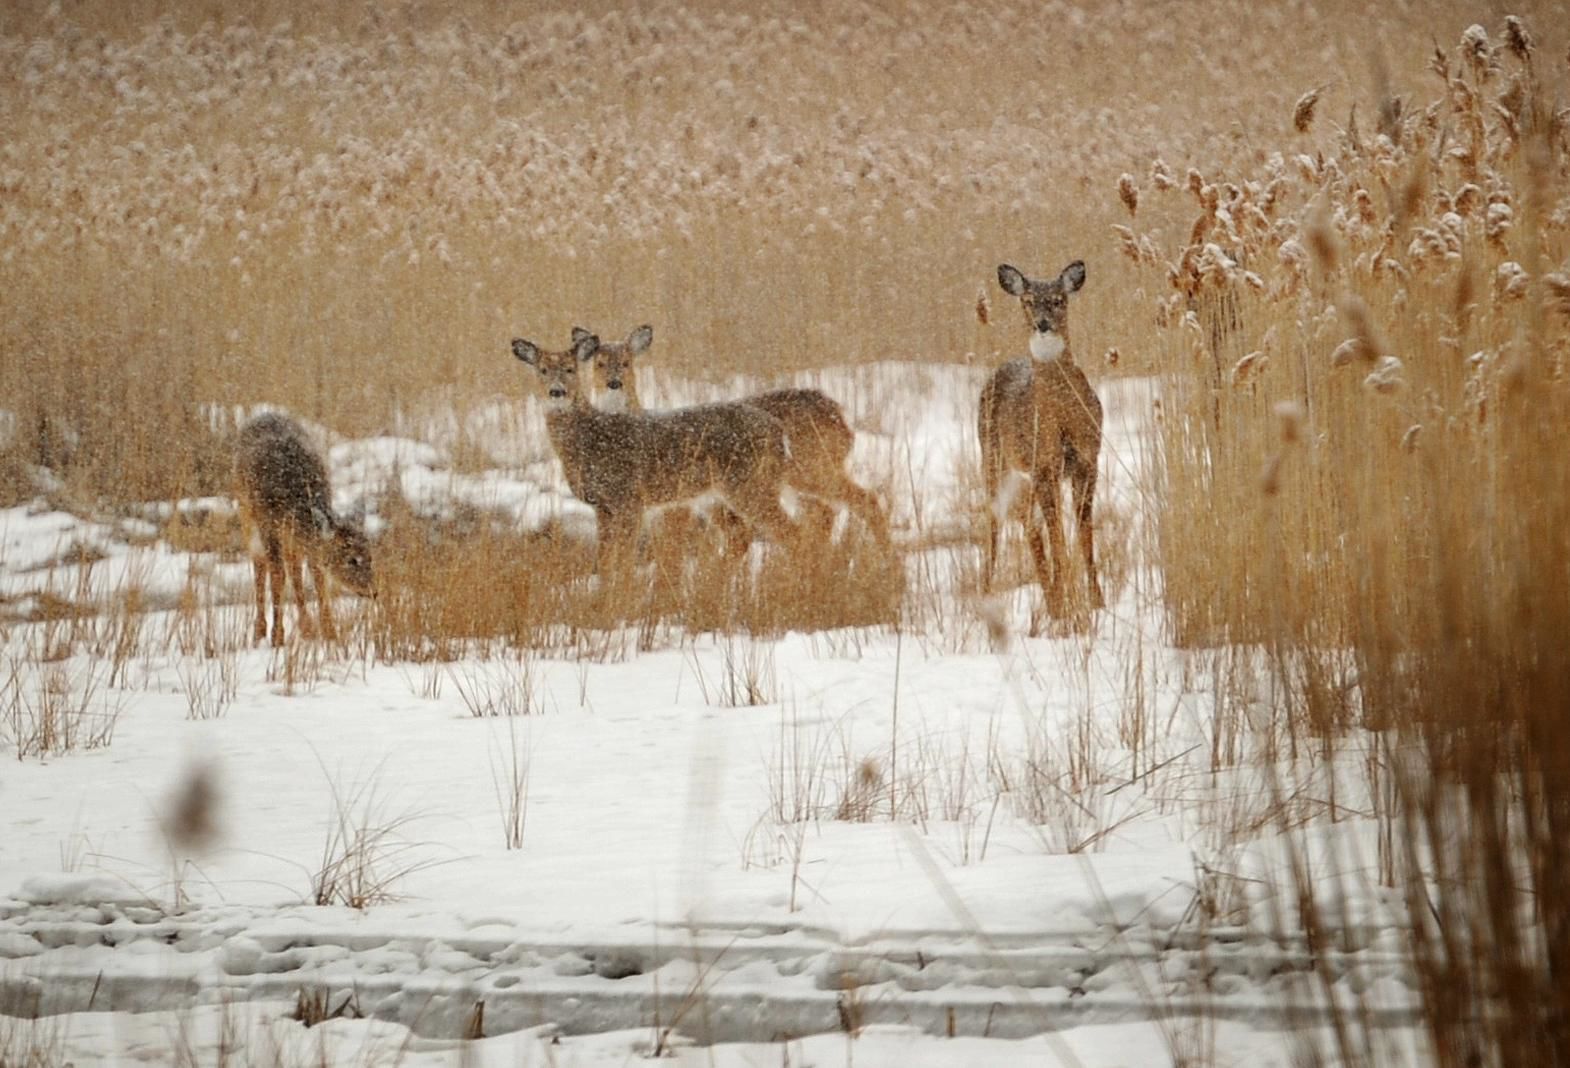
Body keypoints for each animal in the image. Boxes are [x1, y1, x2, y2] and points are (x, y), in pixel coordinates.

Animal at [234, 412, 375, 646]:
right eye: (351, 559)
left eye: (371, 556)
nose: (373, 591)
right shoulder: (268, 527)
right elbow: (277, 578)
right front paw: (277, 637)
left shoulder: (303, 542)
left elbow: (318, 577)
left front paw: (330, 634)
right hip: (247, 515)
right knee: (260, 567)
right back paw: (259, 632)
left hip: (290, 541)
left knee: (295, 572)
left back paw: (306, 628)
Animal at [510, 331, 805, 580]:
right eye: (542, 370)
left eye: (570, 369)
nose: (557, 391)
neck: (590, 439)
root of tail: (779, 431)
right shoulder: (603, 507)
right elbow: (604, 562)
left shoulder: (629, 498)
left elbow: (624, 560)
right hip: (724, 493)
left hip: (749, 484)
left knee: (792, 532)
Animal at [575, 324, 891, 551]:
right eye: (599, 363)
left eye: (626, 362)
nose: (614, 383)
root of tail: (841, 417)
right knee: (828, 512)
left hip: (810, 467)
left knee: (860, 500)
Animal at [978, 260, 1104, 617]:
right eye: (1028, 301)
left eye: (1059, 299)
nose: (1042, 324)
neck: (1060, 419)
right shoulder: (1045, 463)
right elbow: (1058, 534)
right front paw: (1071, 606)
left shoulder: (1088, 458)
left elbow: (1084, 533)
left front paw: (1096, 602)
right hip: (994, 458)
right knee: (995, 522)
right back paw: (988, 593)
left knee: (1029, 525)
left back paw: (1051, 600)